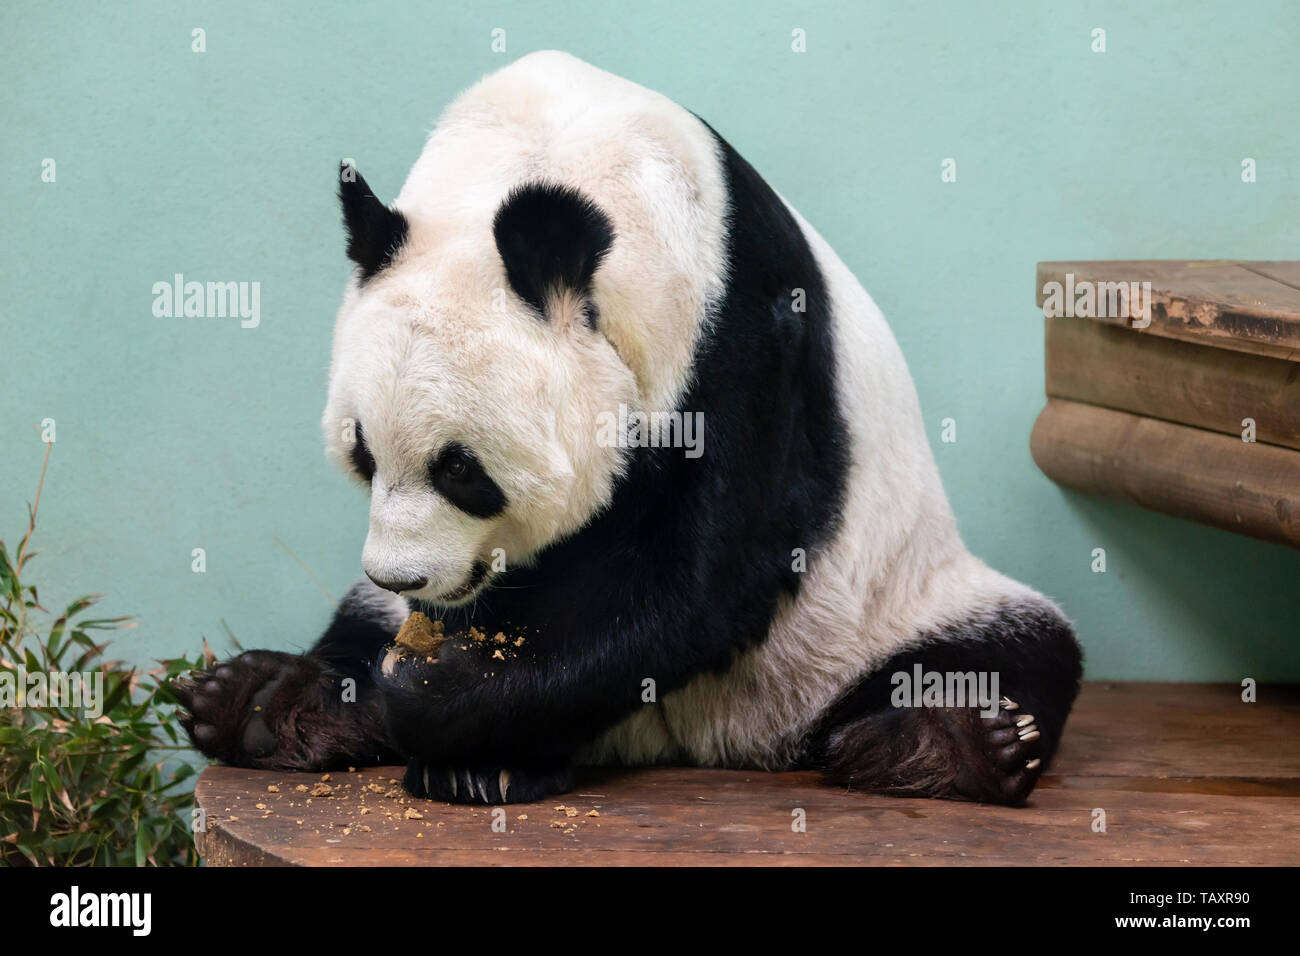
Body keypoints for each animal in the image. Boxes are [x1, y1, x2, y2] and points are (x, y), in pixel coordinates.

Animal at [178, 51, 1082, 807]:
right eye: (362, 455)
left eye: (461, 471)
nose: (405, 578)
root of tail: (724, 743)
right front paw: (440, 716)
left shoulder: (746, 334)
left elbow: (699, 579)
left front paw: (448, 709)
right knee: (351, 627)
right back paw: (271, 703)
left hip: (883, 606)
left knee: (1008, 651)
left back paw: (947, 744)